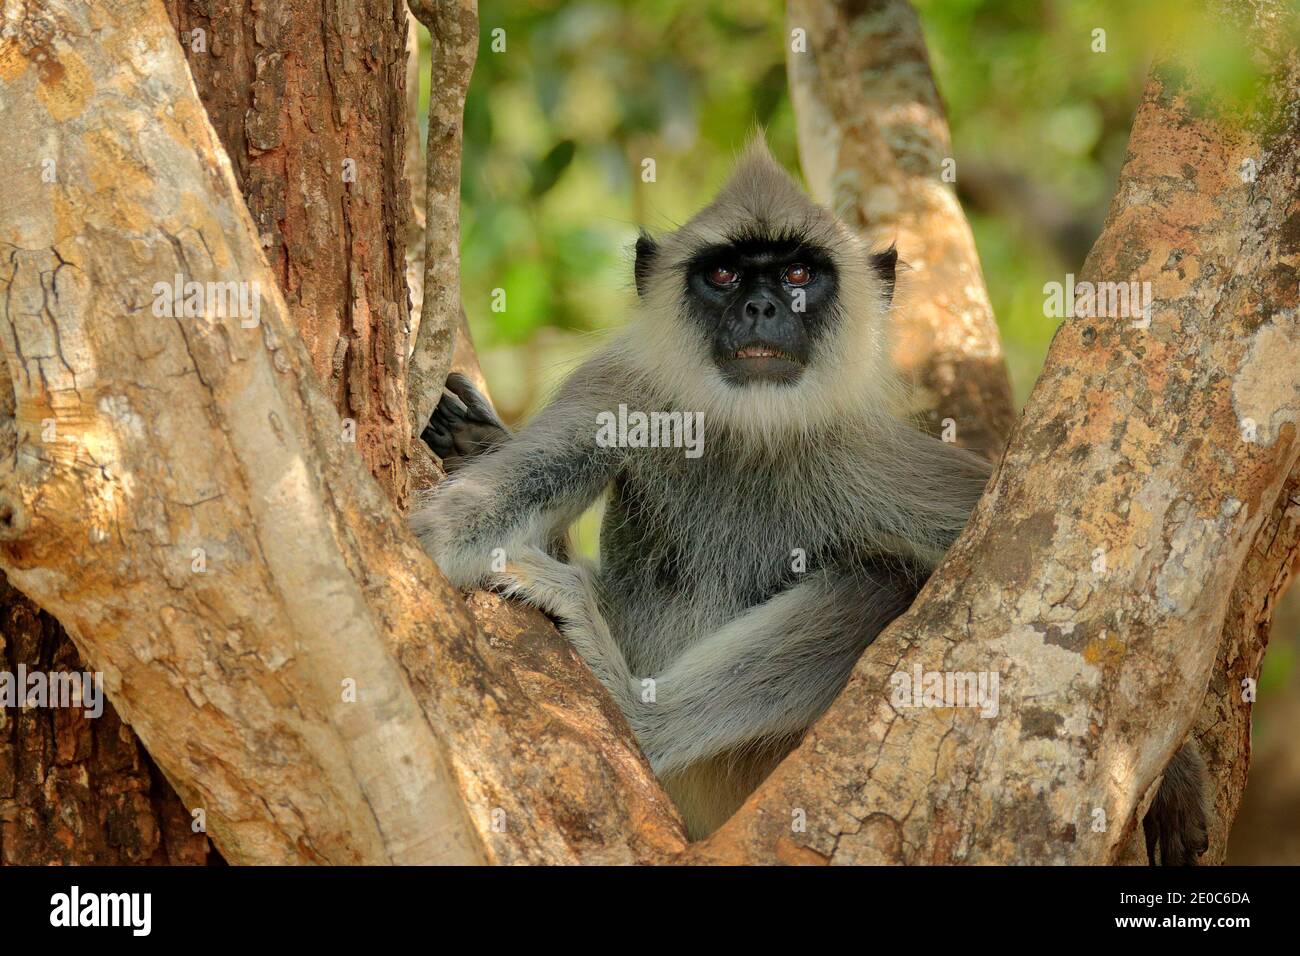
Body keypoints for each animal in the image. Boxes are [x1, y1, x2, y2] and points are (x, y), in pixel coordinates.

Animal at [411, 138, 1210, 861]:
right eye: (724, 273)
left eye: (798, 273)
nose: (762, 305)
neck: (746, 429)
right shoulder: (617, 391)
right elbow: (453, 529)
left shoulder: (869, 456)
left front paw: (1177, 775)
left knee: (878, 581)